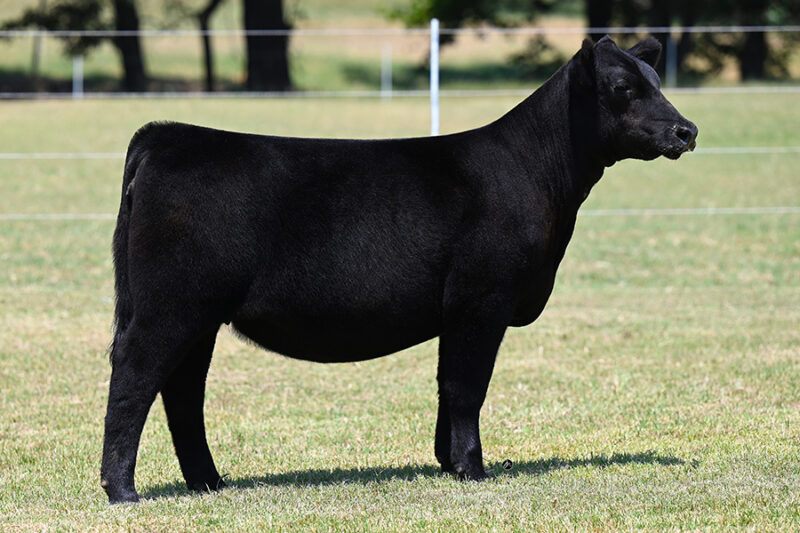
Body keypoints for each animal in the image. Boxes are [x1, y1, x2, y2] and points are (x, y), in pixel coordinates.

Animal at [101, 35, 697, 503]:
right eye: (623, 88)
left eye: (656, 81)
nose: (686, 131)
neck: (537, 175)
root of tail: (167, 133)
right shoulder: (482, 298)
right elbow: (466, 385)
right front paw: (472, 468)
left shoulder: (459, 309)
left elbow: (447, 385)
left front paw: (447, 462)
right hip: (171, 305)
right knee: (135, 375)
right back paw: (122, 489)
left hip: (197, 314)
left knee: (182, 390)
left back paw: (208, 482)